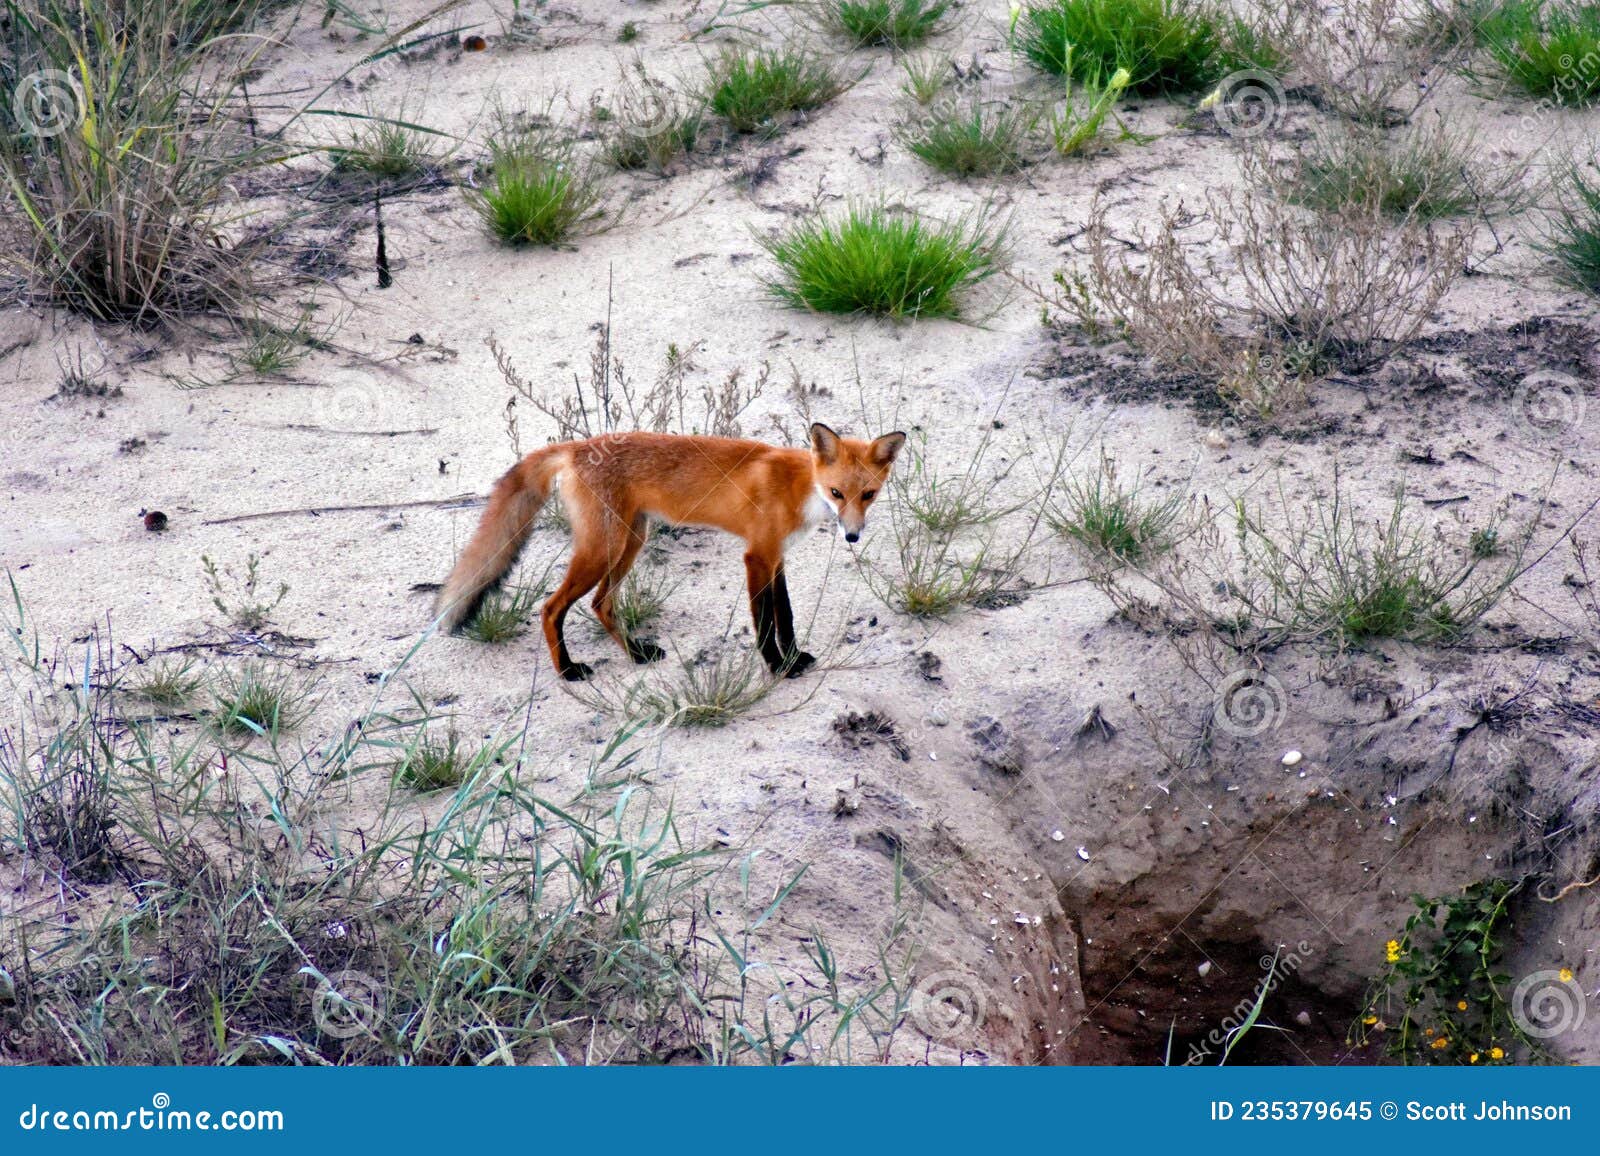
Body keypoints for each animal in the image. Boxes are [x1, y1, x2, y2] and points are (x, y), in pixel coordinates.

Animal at [434, 422, 907, 681]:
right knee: (552, 607)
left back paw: (636, 655)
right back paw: (568, 671)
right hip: (603, 550)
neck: (798, 488)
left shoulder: (777, 557)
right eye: (837, 493)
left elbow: (785, 616)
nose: (852, 536)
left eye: (868, 495)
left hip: (629, 543)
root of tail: (576, 447)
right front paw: (778, 667)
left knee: (601, 604)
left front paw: (792, 658)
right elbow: (764, 622)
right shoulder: (757, 555)